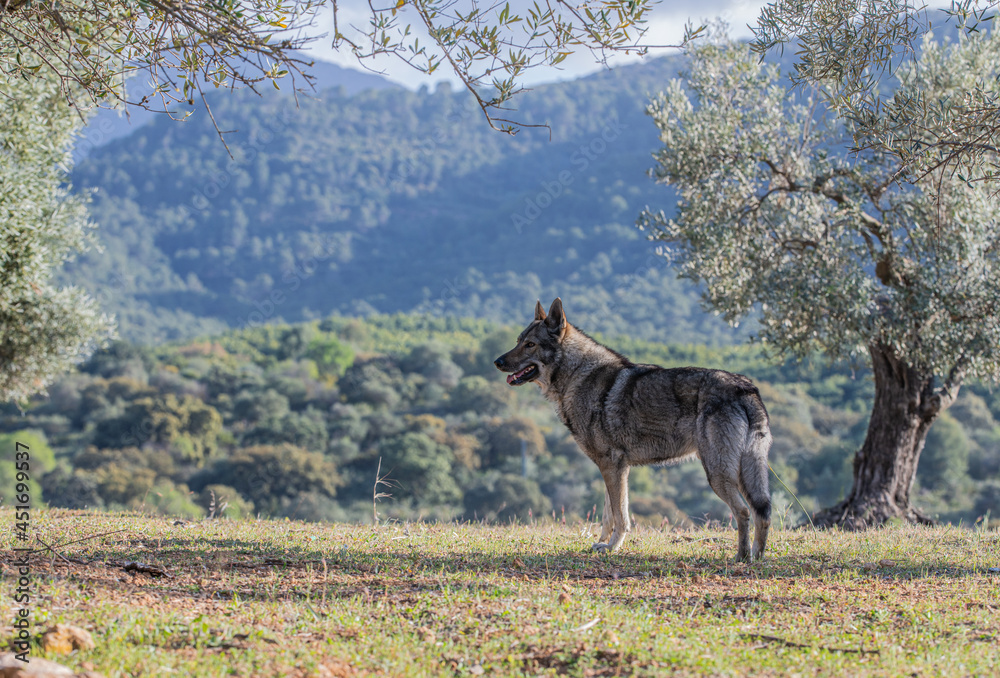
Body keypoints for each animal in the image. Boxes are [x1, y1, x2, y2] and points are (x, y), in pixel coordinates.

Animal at [494, 298, 772, 562]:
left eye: (530, 344)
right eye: (518, 341)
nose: (497, 361)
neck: (577, 376)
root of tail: (745, 388)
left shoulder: (612, 465)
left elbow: (620, 516)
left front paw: (612, 547)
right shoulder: (614, 467)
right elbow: (609, 513)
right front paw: (601, 544)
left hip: (717, 474)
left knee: (743, 512)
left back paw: (742, 556)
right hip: (745, 474)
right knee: (763, 512)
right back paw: (757, 557)